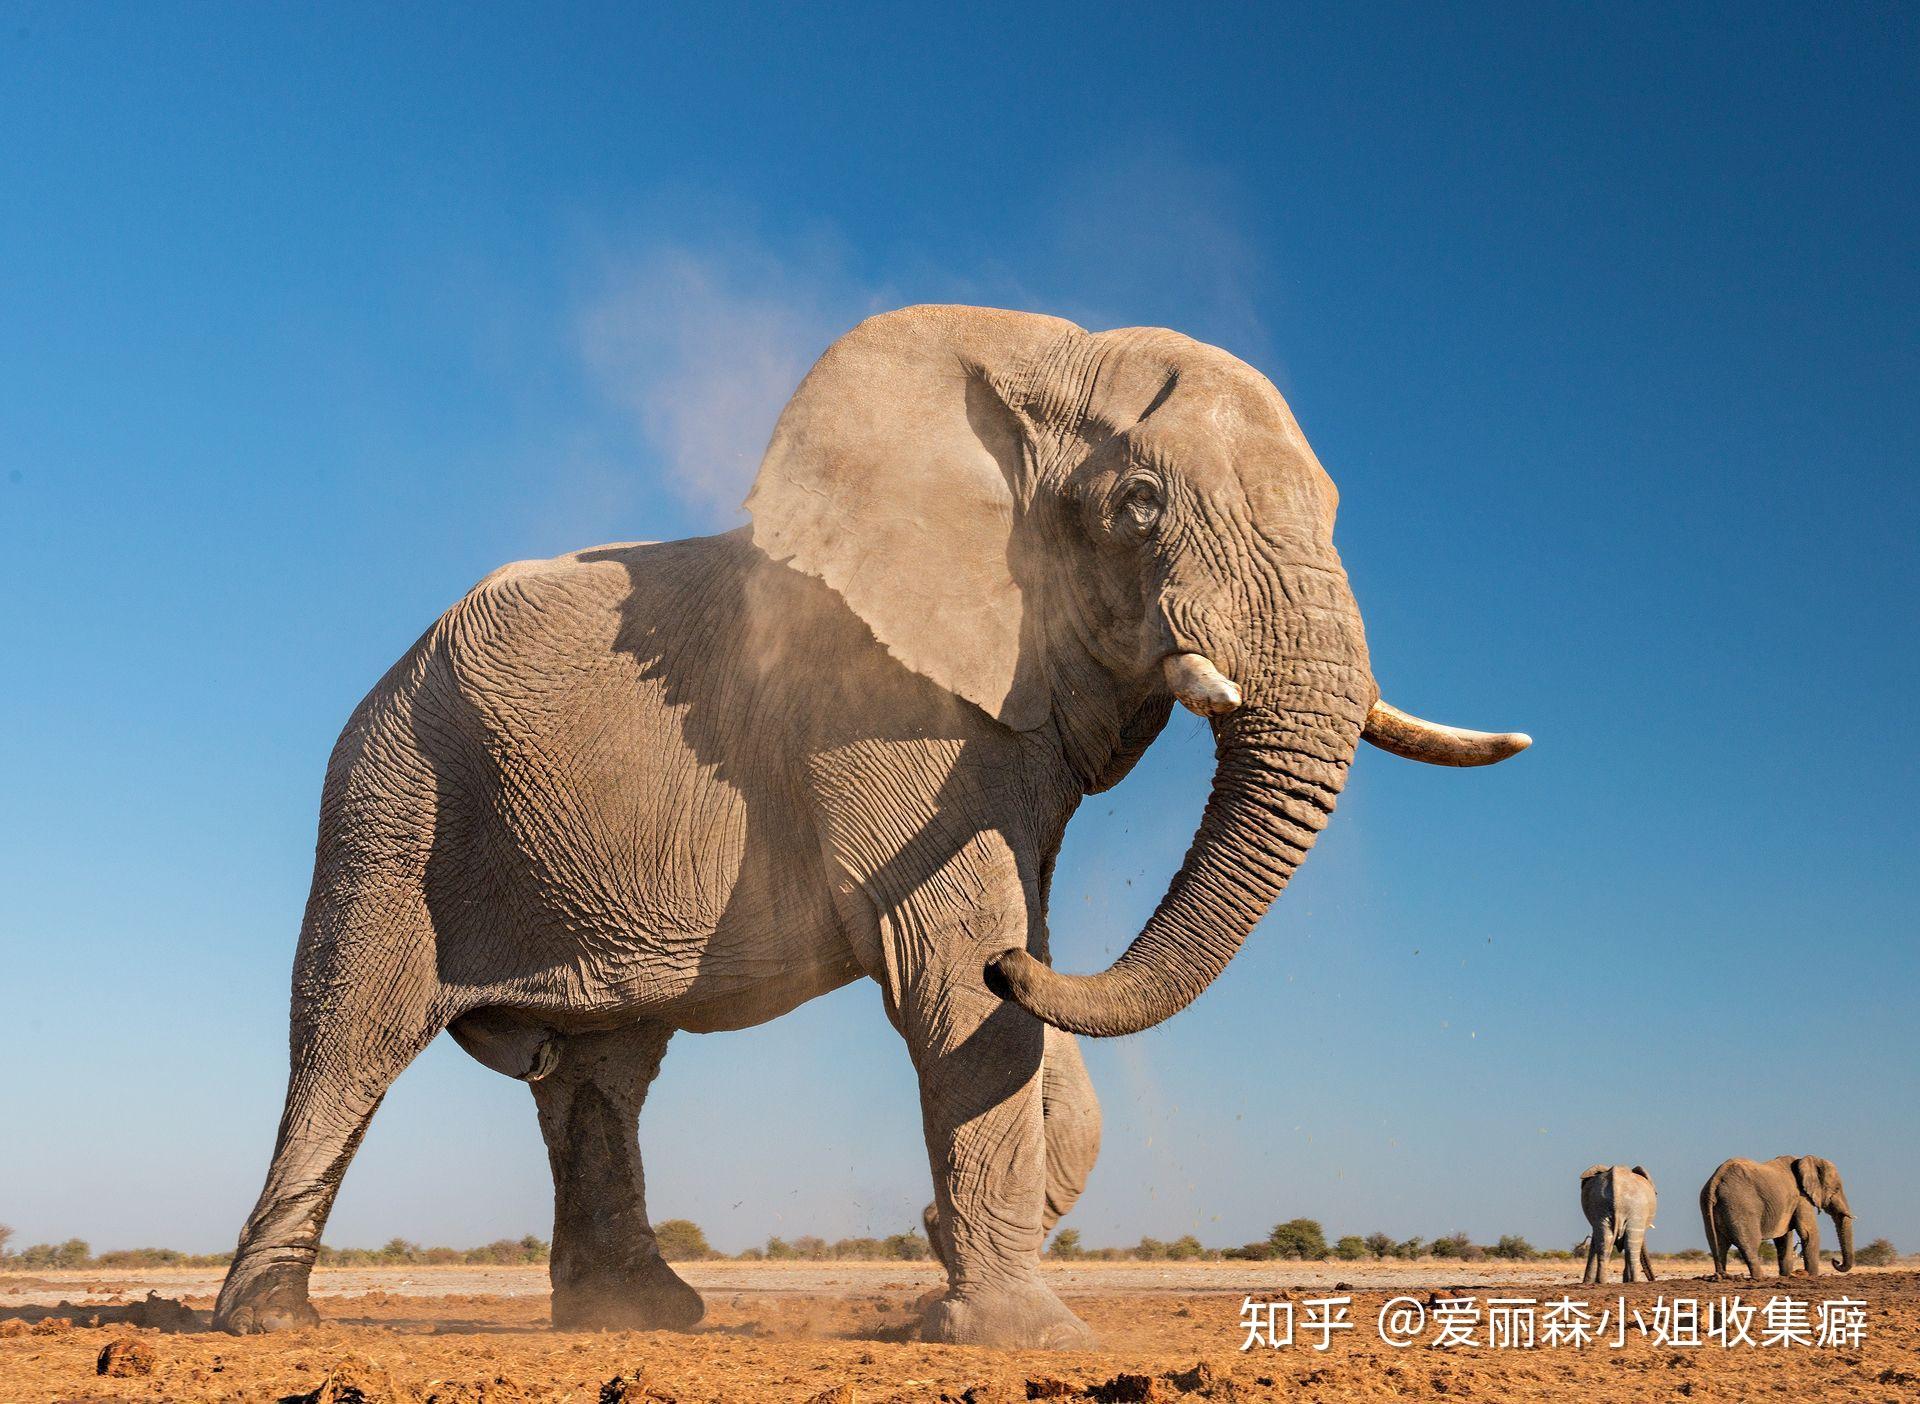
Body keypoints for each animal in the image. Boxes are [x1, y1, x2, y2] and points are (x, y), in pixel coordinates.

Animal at [211, 304, 1530, 1348]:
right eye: (1138, 506)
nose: (923, 1230)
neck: (1039, 356)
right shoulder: (875, 702)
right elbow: (950, 959)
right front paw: (1021, 1336)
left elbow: (1015, 973)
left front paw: (948, 1268)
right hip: (390, 799)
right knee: (351, 1039)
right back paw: (268, 1322)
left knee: (603, 1070)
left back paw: (641, 1318)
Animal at [1700, 1156, 1855, 1280]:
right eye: (1836, 1189)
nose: (1835, 1261)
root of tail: (1715, 1180)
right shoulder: (1802, 1197)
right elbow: (1808, 1233)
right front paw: (1812, 1276)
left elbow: (1783, 1238)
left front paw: (1786, 1276)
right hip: (1740, 1205)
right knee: (1750, 1243)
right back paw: (1759, 1278)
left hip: (1708, 1205)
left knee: (1718, 1244)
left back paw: (1721, 1276)